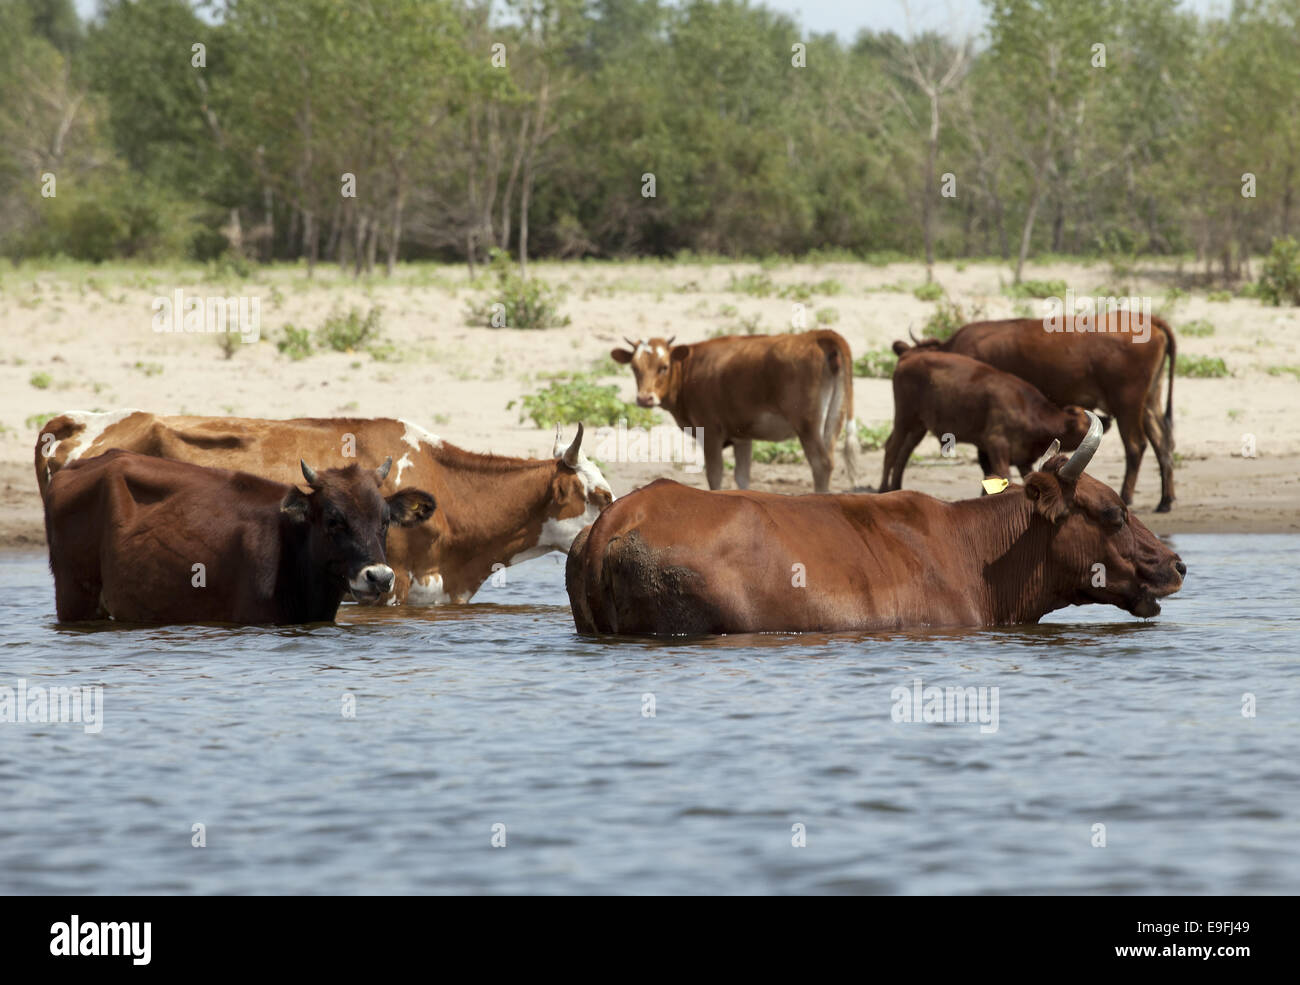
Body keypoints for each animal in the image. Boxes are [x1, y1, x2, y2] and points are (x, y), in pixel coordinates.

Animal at [610, 330, 858, 493]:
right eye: (634, 368)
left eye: (664, 367)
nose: (645, 398)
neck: (690, 369)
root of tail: (817, 335)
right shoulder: (742, 438)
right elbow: (742, 477)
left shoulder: (709, 433)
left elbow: (715, 475)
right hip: (832, 423)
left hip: (807, 427)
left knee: (821, 465)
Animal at [879, 346, 1110, 491]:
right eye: (1083, 425)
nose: (1106, 420)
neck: (1028, 411)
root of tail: (908, 357)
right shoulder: (996, 445)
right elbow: (1001, 476)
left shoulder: (1022, 459)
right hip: (904, 418)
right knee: (892, 449)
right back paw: (883, 489)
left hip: (918, 425)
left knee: (904, 452)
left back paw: (896, 487)